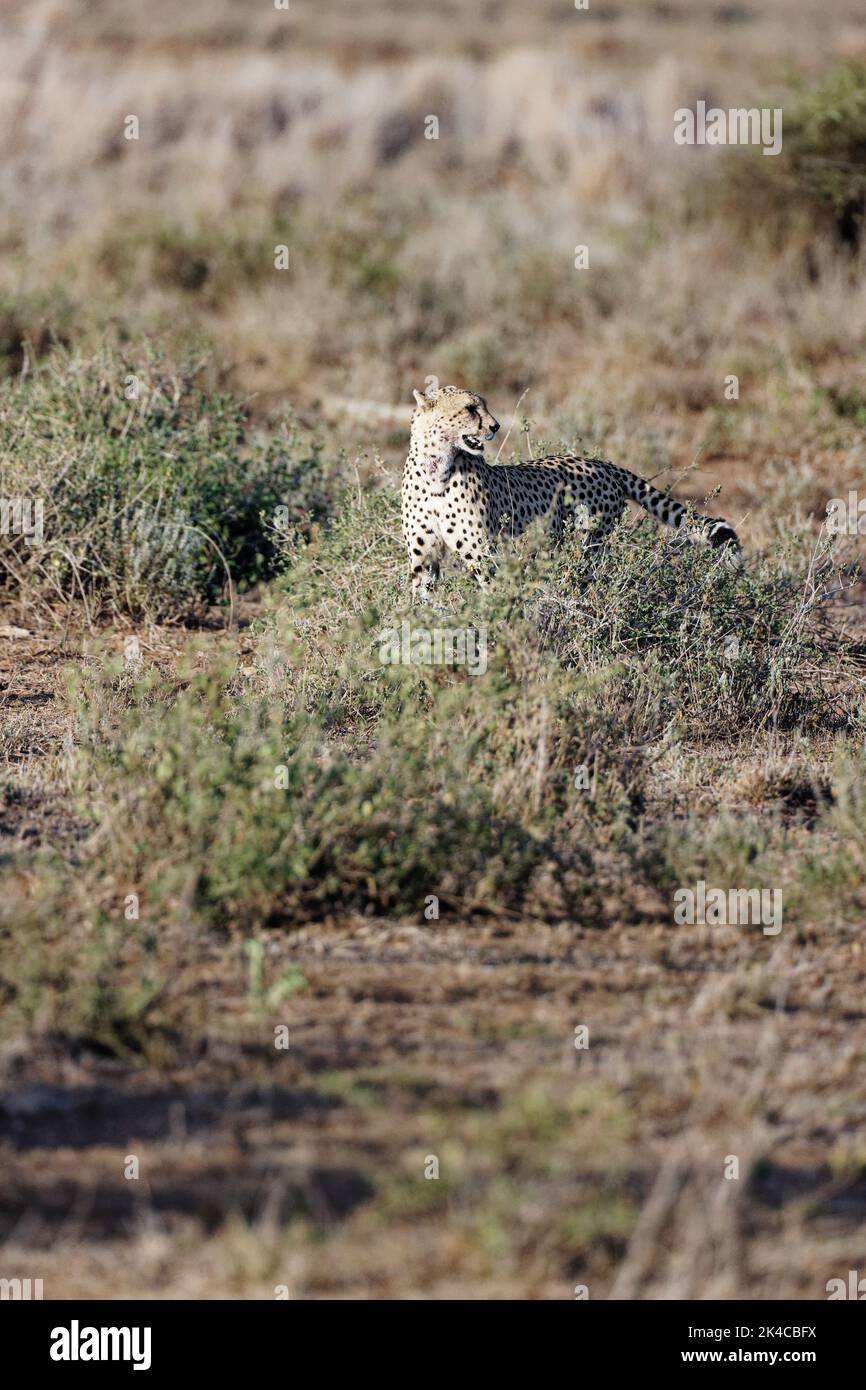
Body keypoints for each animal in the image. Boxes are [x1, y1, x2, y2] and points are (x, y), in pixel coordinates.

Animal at [401, 383, 740, 600]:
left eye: (483, 405)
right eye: (470, 409)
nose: (495, 426)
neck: (437, 467)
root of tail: (598, 461)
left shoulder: (482, 553)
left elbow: (492, 594)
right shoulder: (423, 556)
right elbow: (420, 600)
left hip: (589, 542)